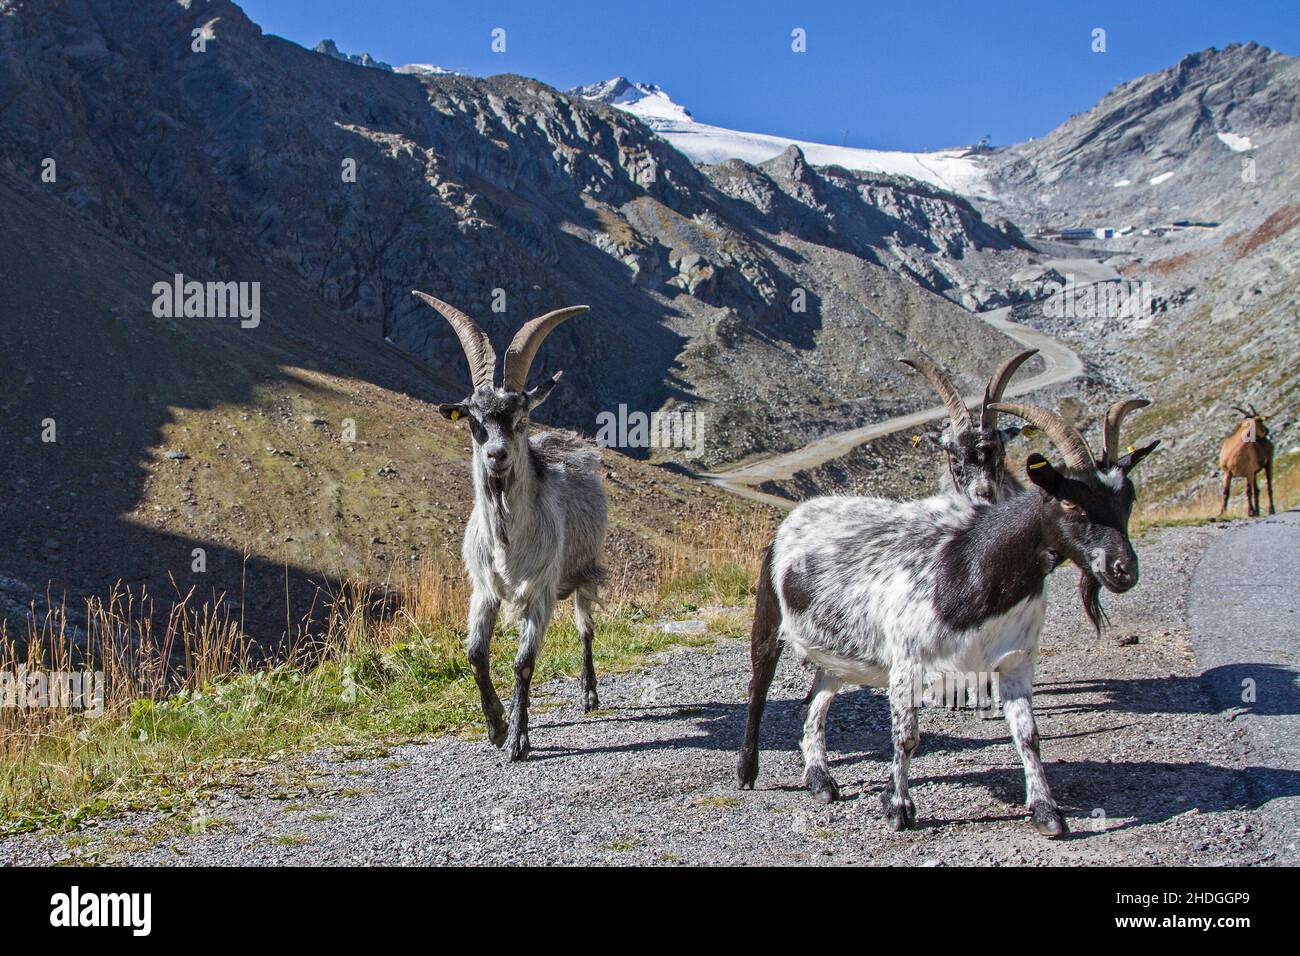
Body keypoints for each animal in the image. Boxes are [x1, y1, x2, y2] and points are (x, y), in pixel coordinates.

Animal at [415, 291, 607, 762]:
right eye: (472, 420)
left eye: (520, 417)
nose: (496, 455)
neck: (507, 545)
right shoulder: (483, 590)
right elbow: (474, 655)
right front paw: (496, 726)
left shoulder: (540, 591)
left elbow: (523, 663)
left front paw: (518, 738)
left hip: (585, 570)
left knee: (586, 628)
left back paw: (589, 692)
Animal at [737, 397, 1157, 836]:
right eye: (1072, 502)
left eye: (1127, 500)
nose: (1123, 570)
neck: (972, 562)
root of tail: (795, 518)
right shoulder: (906, 663)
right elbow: (906, 737)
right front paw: (898, 808)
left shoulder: (1015, 663)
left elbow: (1028, 735)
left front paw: (1046, 811)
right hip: (769, 618)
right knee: (758, 691)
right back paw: (747, 772)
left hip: (838, 649)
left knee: (815, 702)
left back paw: (820, 780)